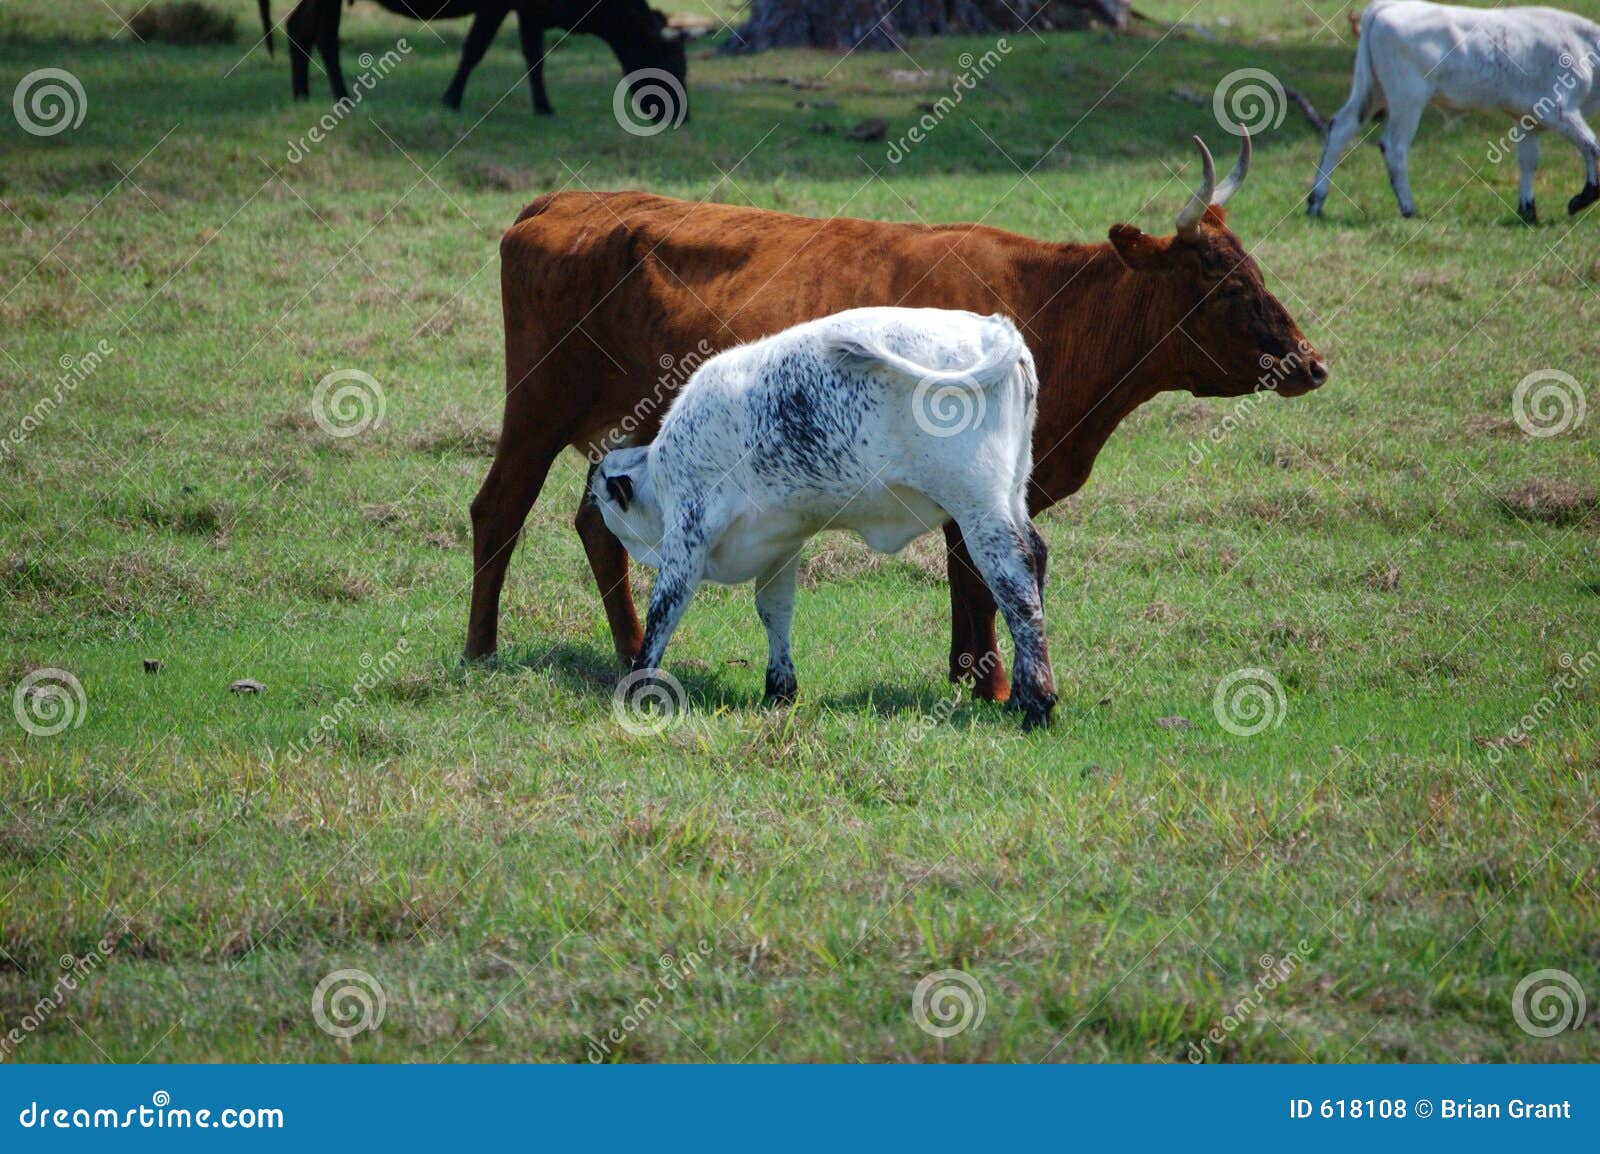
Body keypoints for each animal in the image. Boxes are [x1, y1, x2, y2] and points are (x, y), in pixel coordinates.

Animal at [263, 0, 691, 120]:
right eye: (669, 55)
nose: (684, 116)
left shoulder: (529, 12)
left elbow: (534, 57)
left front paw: (543, 106)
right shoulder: (497, 5)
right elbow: (475, 49)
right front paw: (451, 99)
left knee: (299, 27)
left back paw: (302, 94)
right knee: (325, 37)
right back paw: (340, 97)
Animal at [593, 307, 1057, 729]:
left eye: (600, 492)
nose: (591, 477)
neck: (658, 475)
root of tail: (992, 327)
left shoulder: (687, 538)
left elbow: (663, 609)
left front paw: (637, 686)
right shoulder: (781, 544)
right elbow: (774, 609)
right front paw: (780, 690)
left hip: (979, 509)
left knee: (1015, 585)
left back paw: (1038, 704)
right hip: (1012, 495)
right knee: (1036, 559)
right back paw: (1020, 695)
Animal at [1307, 1, 1600, 222]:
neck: (1583, 44)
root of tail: (1386, 6)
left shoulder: (1527, 119)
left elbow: (1528, 161)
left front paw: (1528, 211)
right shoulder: (1560, 109)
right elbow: (1591, 145)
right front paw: (1583, 198)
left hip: (1370, 94)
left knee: (1339, 131)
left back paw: (1316, 203)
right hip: (1408, 101)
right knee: (1394, 147)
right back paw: (1409, 208)